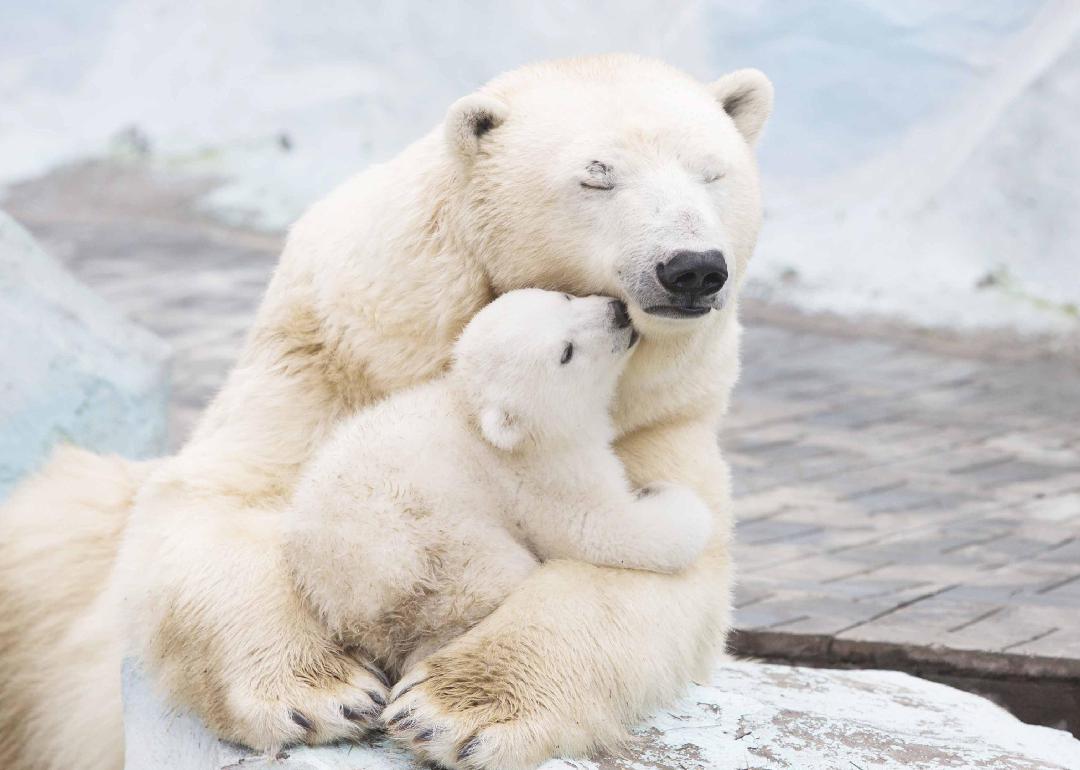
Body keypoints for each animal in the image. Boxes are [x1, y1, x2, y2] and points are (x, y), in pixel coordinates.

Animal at [285, 289, 714, 688]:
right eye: (566, 353)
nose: (619, 312)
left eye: (565, 296)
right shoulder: (542, 475)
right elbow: (600, 530)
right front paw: (669, 498)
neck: (479, 420)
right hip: (437, 554)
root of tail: (342, 600)